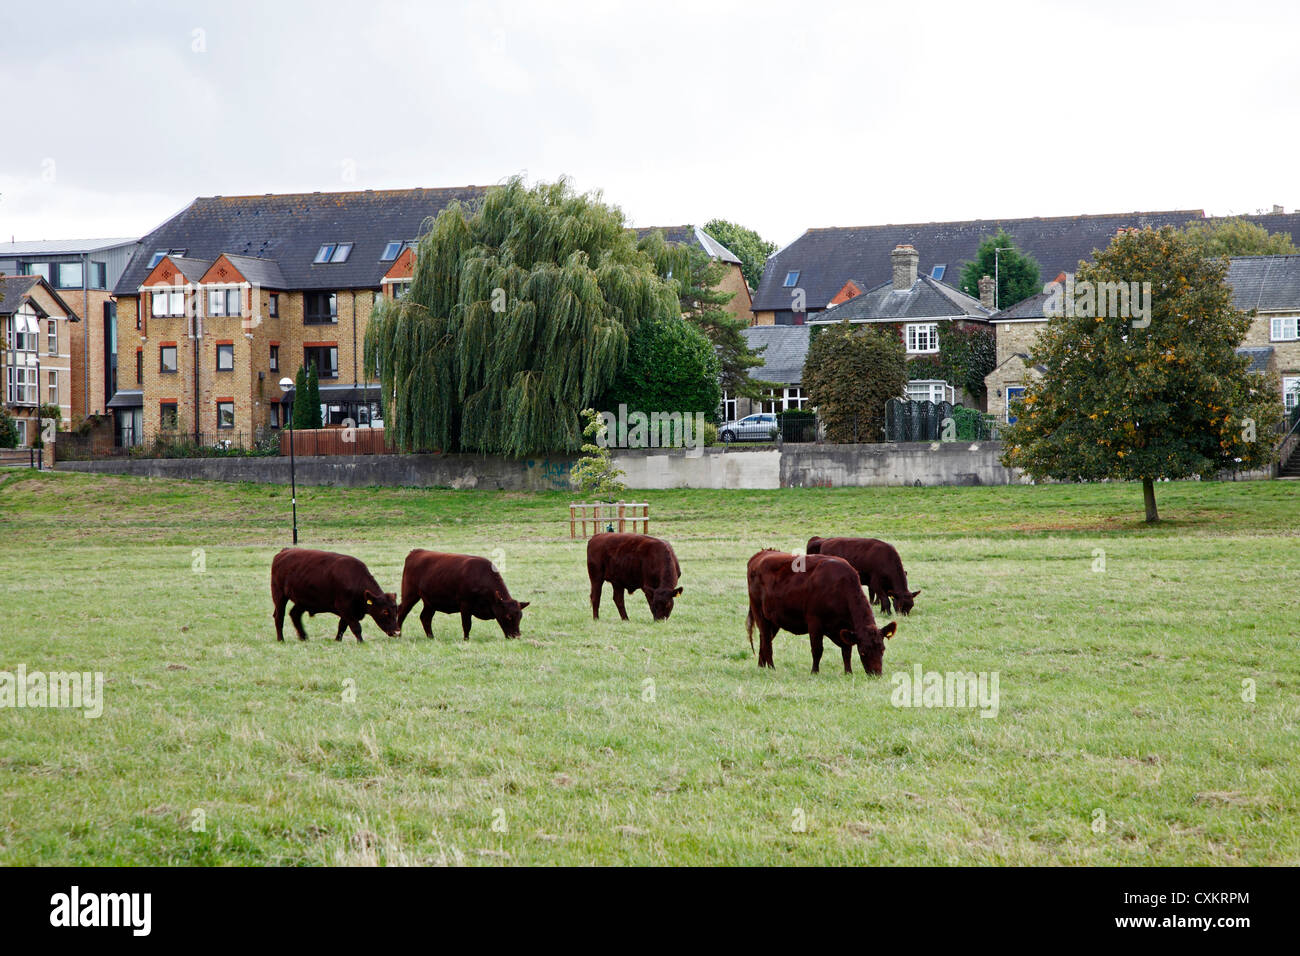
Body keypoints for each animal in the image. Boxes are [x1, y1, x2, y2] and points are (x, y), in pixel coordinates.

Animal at [270, 548, 400, 642]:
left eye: (396, 610)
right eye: (385, 611)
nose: (397, 632)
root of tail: (284, 551)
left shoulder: (348, 611)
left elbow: (342, 626)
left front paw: (338, 640)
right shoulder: (345, 608)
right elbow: (356, 627)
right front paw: (361, 642)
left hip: (303, 601)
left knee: (294, 614)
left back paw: (304, 637)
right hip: (279, 595)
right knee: (279, 617)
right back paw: (281, 640)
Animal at [397, 550, 530, 641]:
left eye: (520, 616)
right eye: (508, 616)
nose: (517, 636)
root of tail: (416, 551)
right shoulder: (465, 604)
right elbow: (467, 624)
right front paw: (466, 640)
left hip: (430, 601)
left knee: (425, 617)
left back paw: (431, 637)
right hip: (410, 594)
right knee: (402, 612)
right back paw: (398, 634)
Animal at [746, 549, 897, 674]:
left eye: (882, 649)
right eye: (863, 651)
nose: (876, 674)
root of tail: (760, 554)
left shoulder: (844, 628)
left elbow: (846, 651)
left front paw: (848, 672)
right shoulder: (814, 622)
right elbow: (817, 649)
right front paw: (814, 672)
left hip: (774, 620)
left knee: (764, 639)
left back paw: (761, 666)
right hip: (760, 614)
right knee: (766, 640)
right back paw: (771, 667)